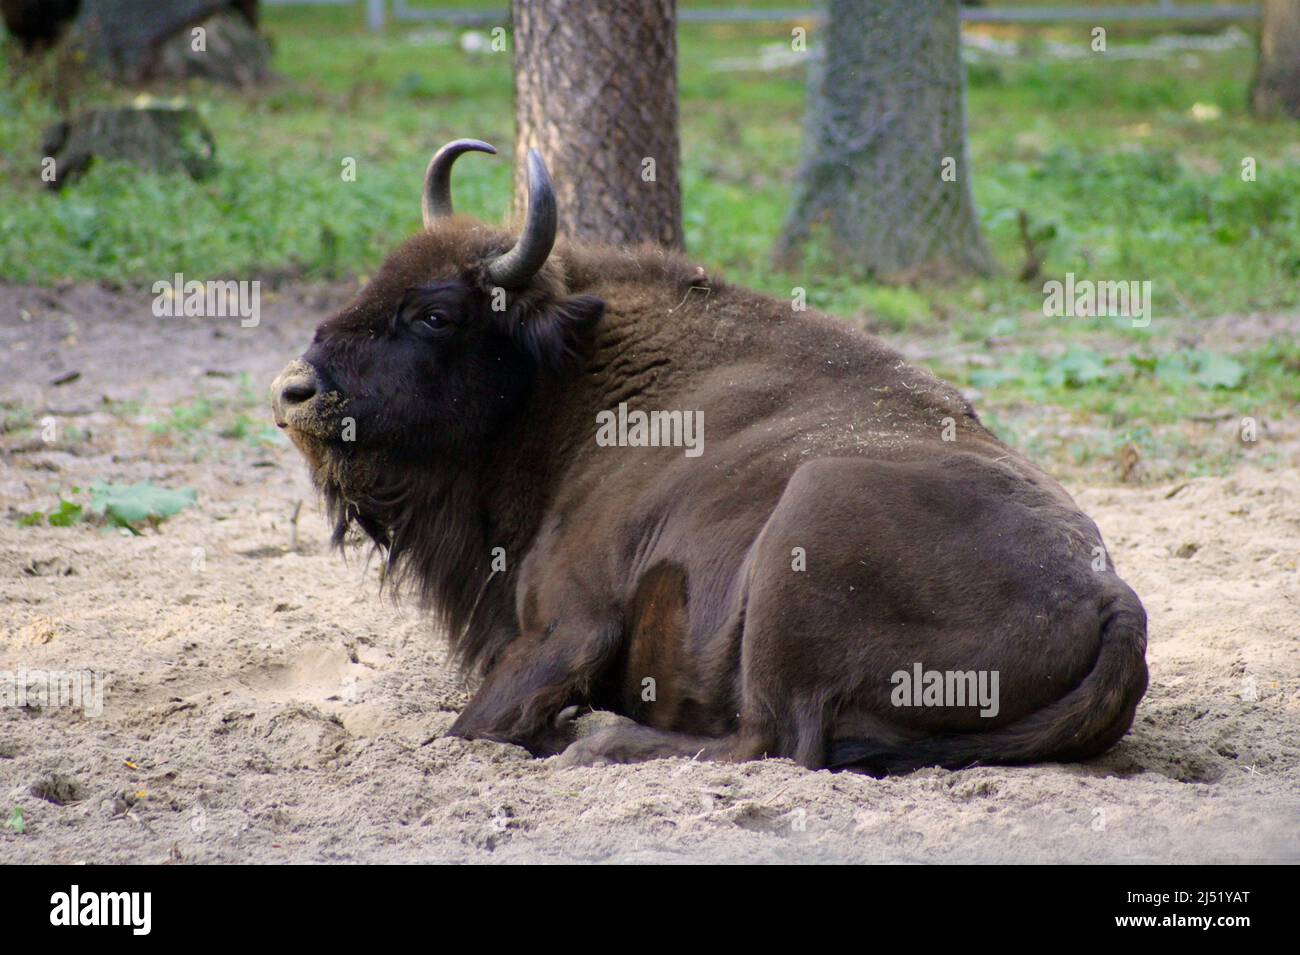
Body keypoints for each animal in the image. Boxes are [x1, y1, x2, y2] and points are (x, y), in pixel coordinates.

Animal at [271, 139, 1148, 773]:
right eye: (376, 280)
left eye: (435, 314)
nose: (295, 391)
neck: (568, 379)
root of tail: (1113, 600)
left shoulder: (566, 626)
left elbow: (472, 725)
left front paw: (564, 726)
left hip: (806, 525)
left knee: (773, 740)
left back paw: (600, 737)